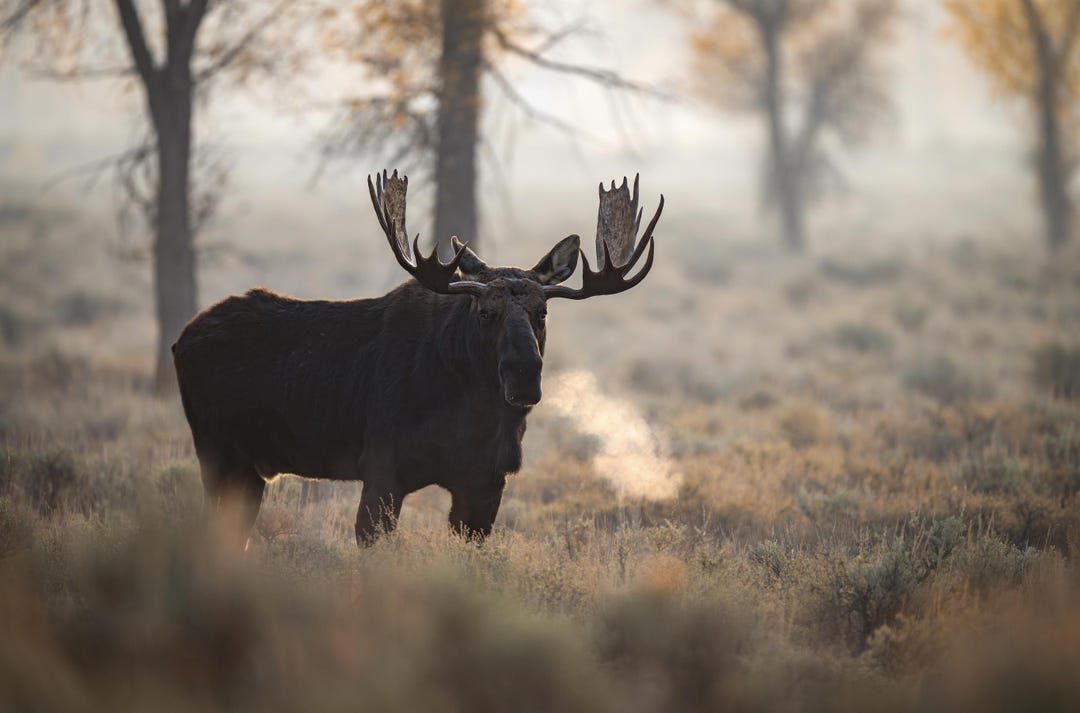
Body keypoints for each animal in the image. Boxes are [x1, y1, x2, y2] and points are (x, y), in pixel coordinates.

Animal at [172, 170, 663, 545]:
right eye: (485, 312)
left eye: (542, 313)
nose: (525, 377)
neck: (473, 418)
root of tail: (181, 339)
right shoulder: (381, 469)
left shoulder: (485, 481)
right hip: (217, 452)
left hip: (249, 468)